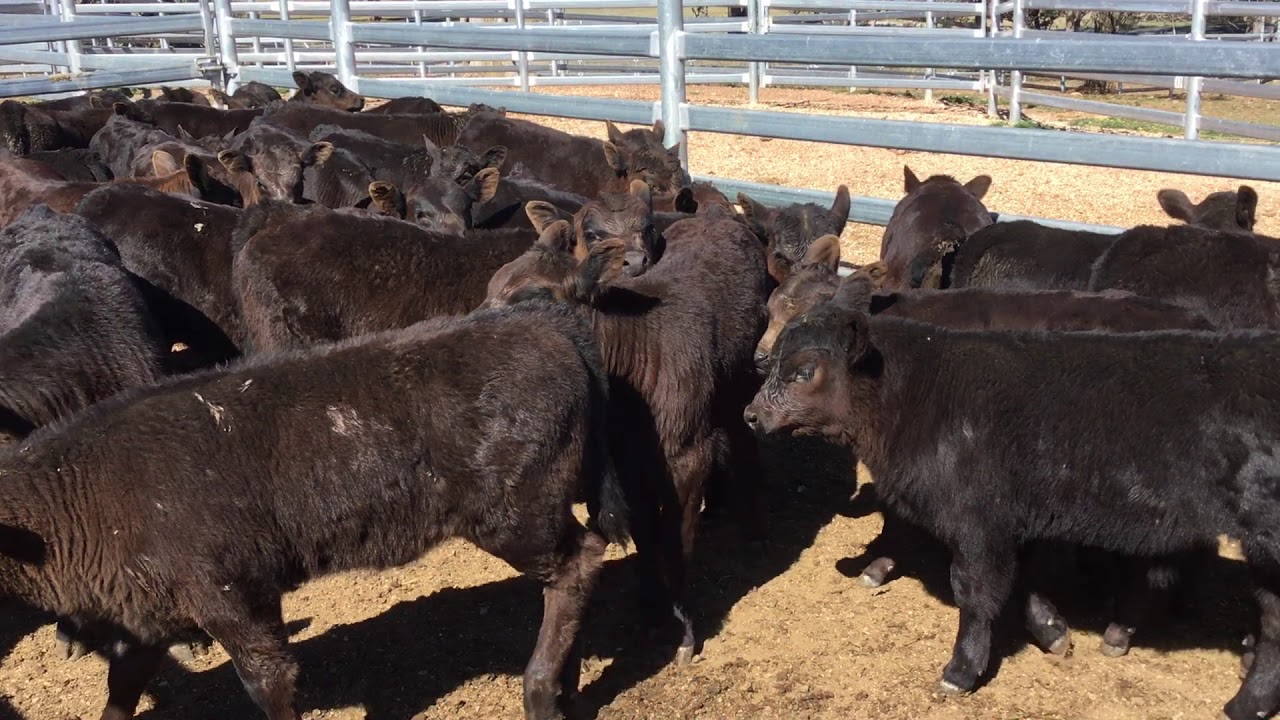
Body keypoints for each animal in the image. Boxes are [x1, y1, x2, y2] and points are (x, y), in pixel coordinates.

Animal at [0, 300, 627, 720]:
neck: (86, 491)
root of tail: (545, 326)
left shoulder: (233, 596)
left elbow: (268, 681)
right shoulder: (147, 616)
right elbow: (121, 688)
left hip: (515, 518)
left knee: (580, 563)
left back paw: (541, 691)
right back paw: (567, 685)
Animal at [745, 305, 1280, 720]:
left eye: (804, 370)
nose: (751, 415)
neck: (920, 396)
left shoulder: (976, 522)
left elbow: (976, 594)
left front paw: (960, 671)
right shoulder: (1017, 520)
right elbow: (1025, 583)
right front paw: (1053, 632)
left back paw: (1244, 699)